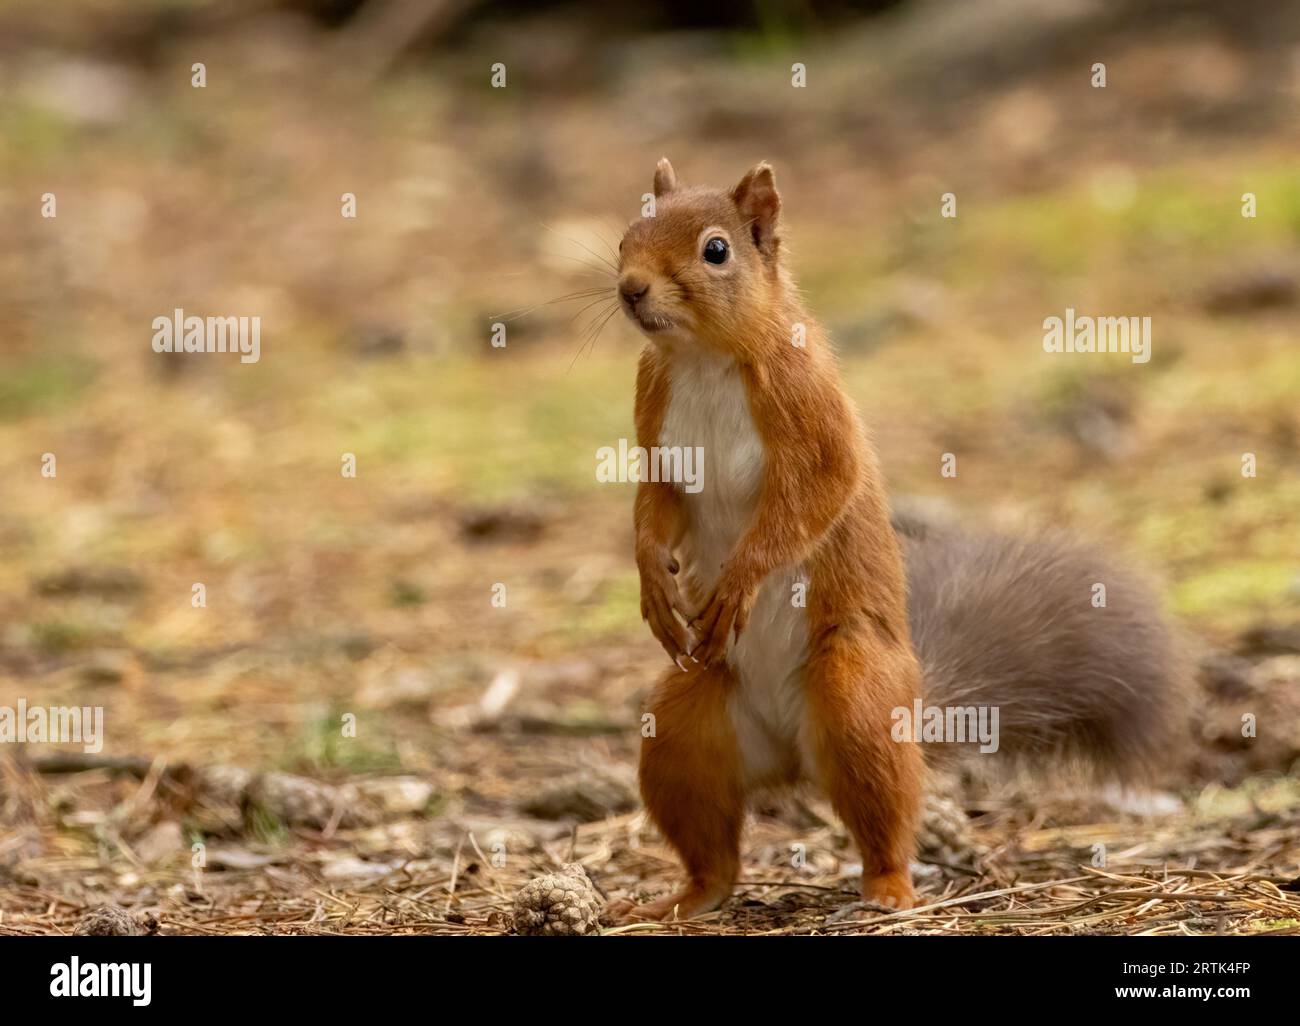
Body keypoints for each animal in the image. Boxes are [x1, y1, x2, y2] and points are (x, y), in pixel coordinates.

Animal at [603, 159, 1181, 923]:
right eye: (625, 236)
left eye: (716, 250)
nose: (631, 288)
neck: (702, 355)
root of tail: (791, 755)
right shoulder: (657, 425)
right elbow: (654, 509)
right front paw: (651, 583)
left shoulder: (810, 409)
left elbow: (817, 493)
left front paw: (739, 579)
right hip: (681, 726)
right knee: (713, 849)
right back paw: (685, 899)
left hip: (856, 699)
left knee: (882, 811)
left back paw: (887, 890)